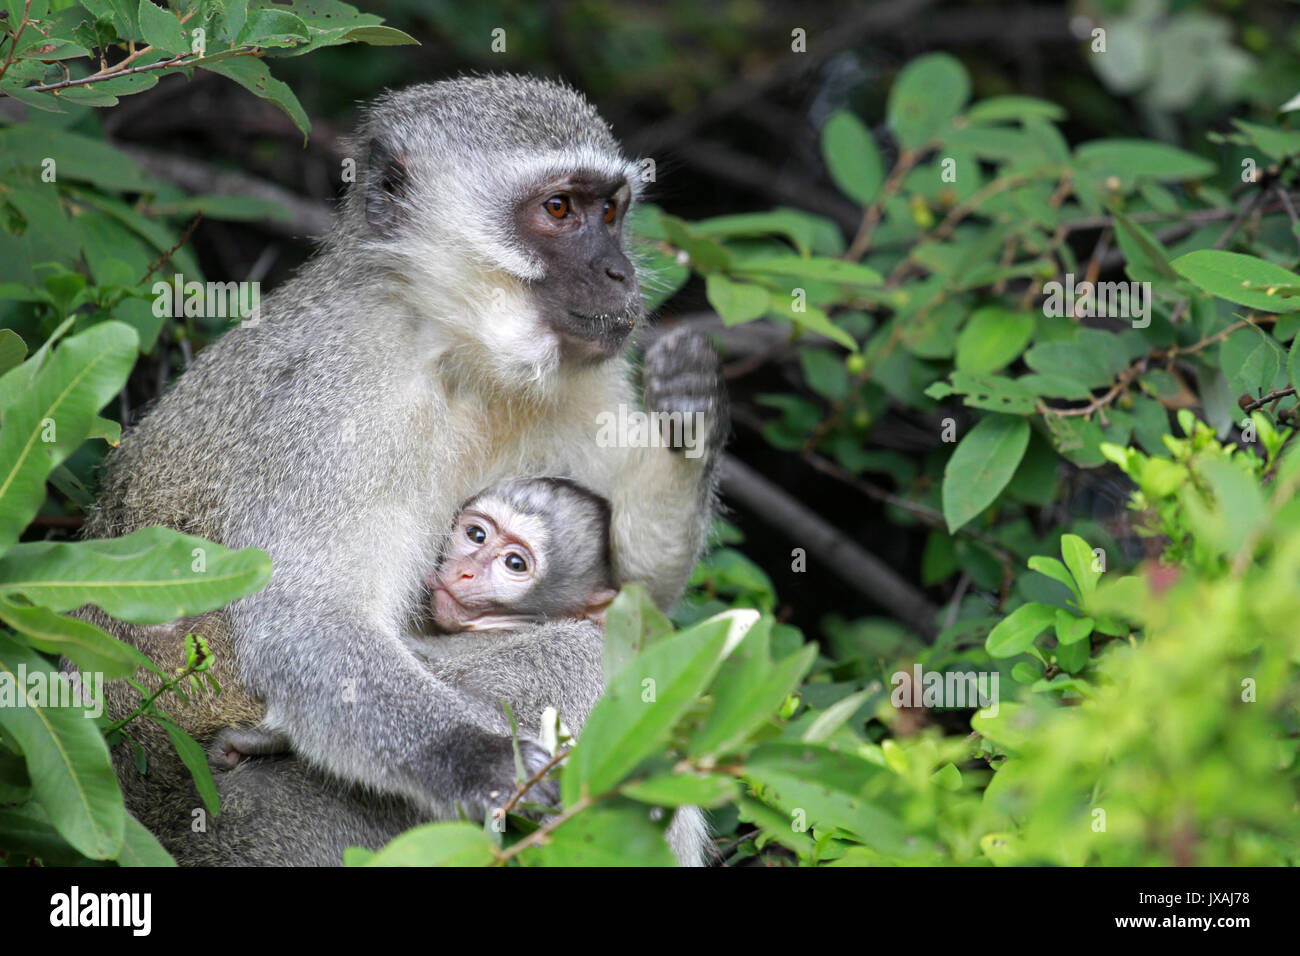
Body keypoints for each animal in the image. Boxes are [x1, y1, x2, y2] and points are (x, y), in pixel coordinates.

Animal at [76, 75, 727, 866]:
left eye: (611, 211)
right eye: (559, 209)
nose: (620, 272)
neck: (457, 353)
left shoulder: (585, 381)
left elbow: (633, 590)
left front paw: (690, 419)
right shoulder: (336, 397)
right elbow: (308, 624)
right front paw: (476, 758)